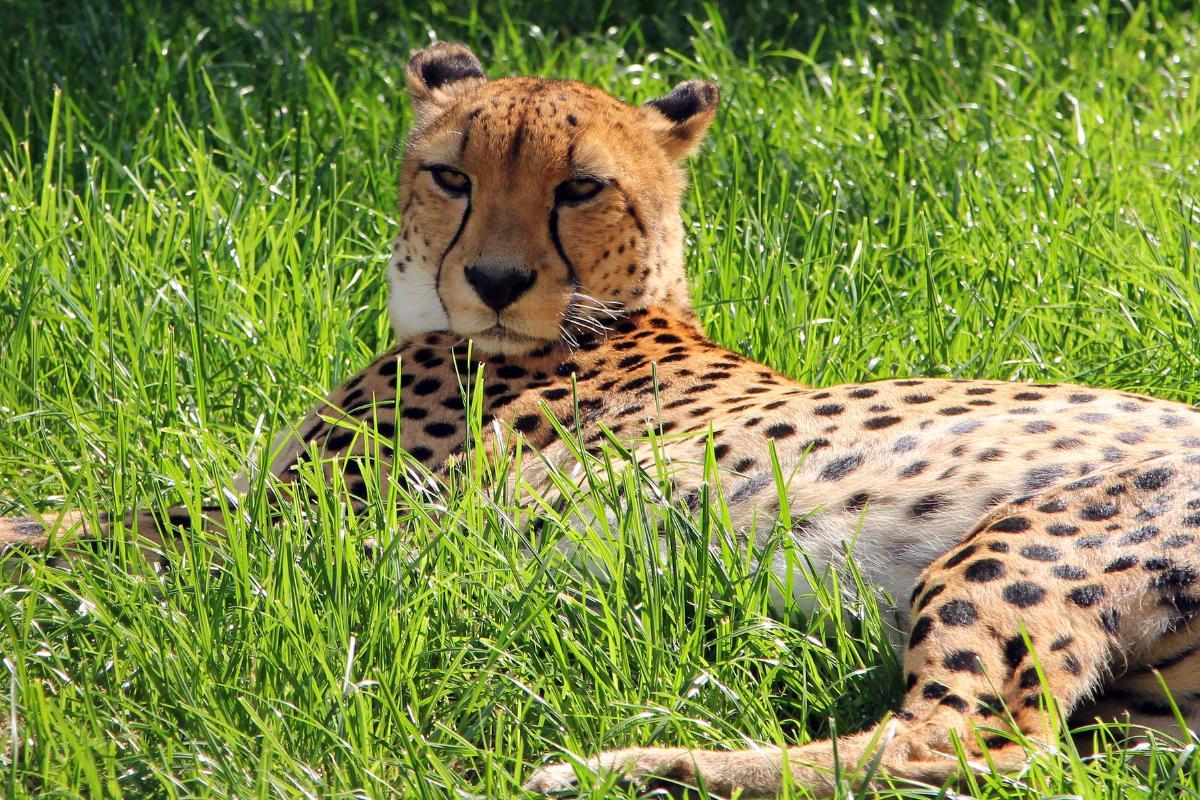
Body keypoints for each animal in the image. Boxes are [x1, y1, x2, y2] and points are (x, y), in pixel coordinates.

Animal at [4, 42, 1200, 798]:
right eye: (451, 175)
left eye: (580, 188)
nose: (493, 279)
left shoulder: (315, 528)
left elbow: (80, 527)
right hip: (1145, 715)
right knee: (1050, 749)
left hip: (1013, 548)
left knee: (969, 746)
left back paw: (620, 768)